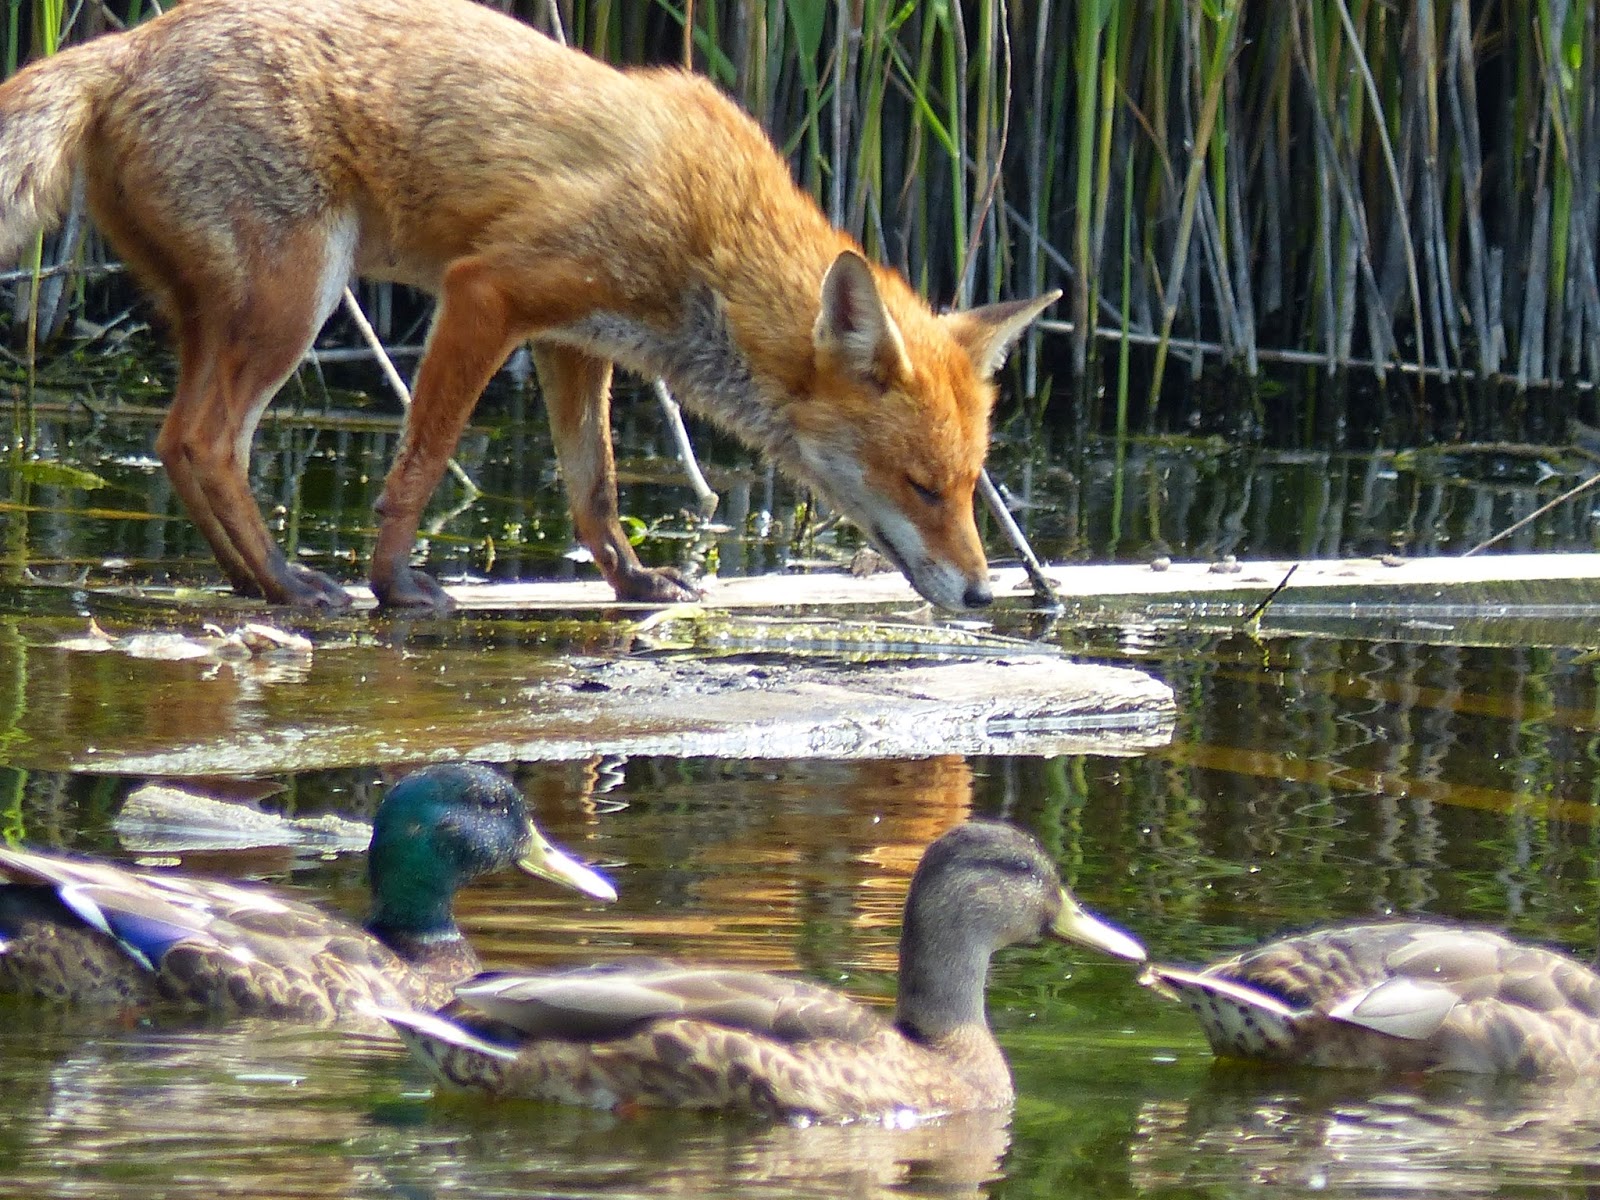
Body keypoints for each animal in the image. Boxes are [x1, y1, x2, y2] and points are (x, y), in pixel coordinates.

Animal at [0, 0, 1058, 612]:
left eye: (971, 485)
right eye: (922, 488)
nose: (984, 595)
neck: (713, 229)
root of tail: (128, 44)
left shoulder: (572, 340)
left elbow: (595, 489)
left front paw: (632, 580)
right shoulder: (489, 293)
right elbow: (421, 466)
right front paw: (393, 584)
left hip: (219, 317)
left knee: (181, 442)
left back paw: (251, 579)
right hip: (296, 301)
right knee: (205, 441)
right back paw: (296, 585)